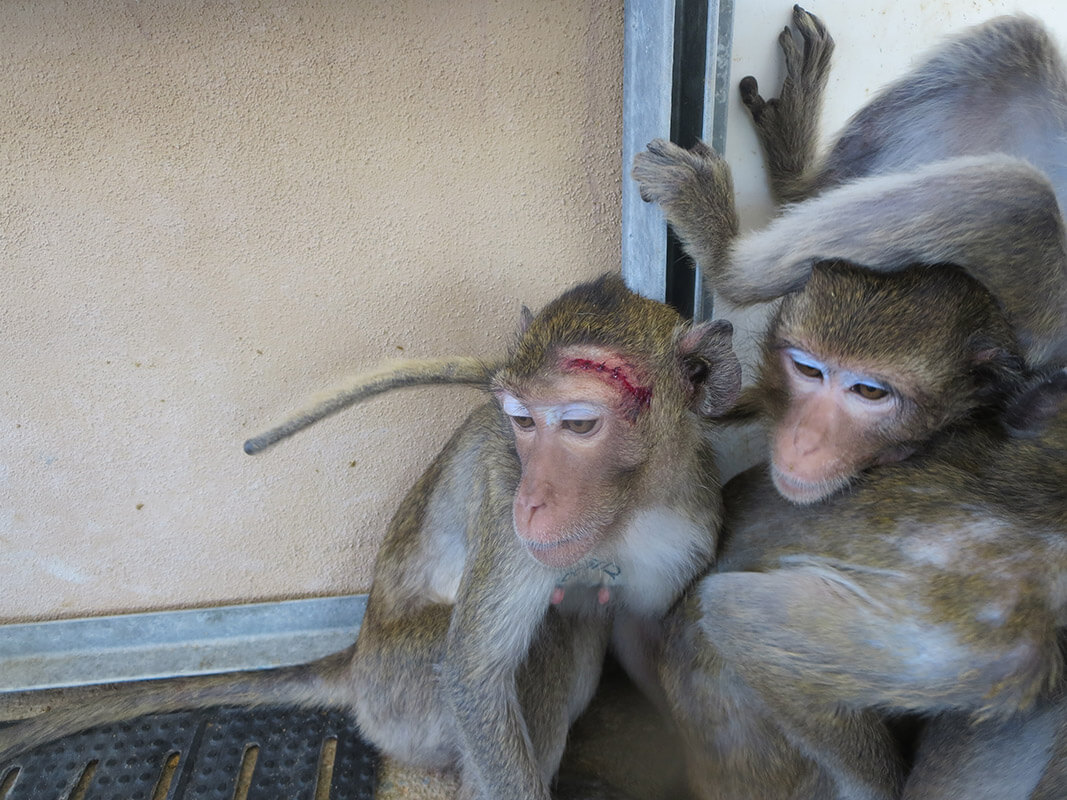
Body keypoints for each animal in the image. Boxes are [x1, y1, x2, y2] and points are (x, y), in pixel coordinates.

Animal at [0, 273, 742, 800]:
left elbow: (644, 633)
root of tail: (357, 657)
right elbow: (475, 675)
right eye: (523, 422)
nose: (531, 504)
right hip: (401, 693)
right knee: (545, 639)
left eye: (580, 424)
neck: (623, 512)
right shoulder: (505, 502)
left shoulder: (686, 525)